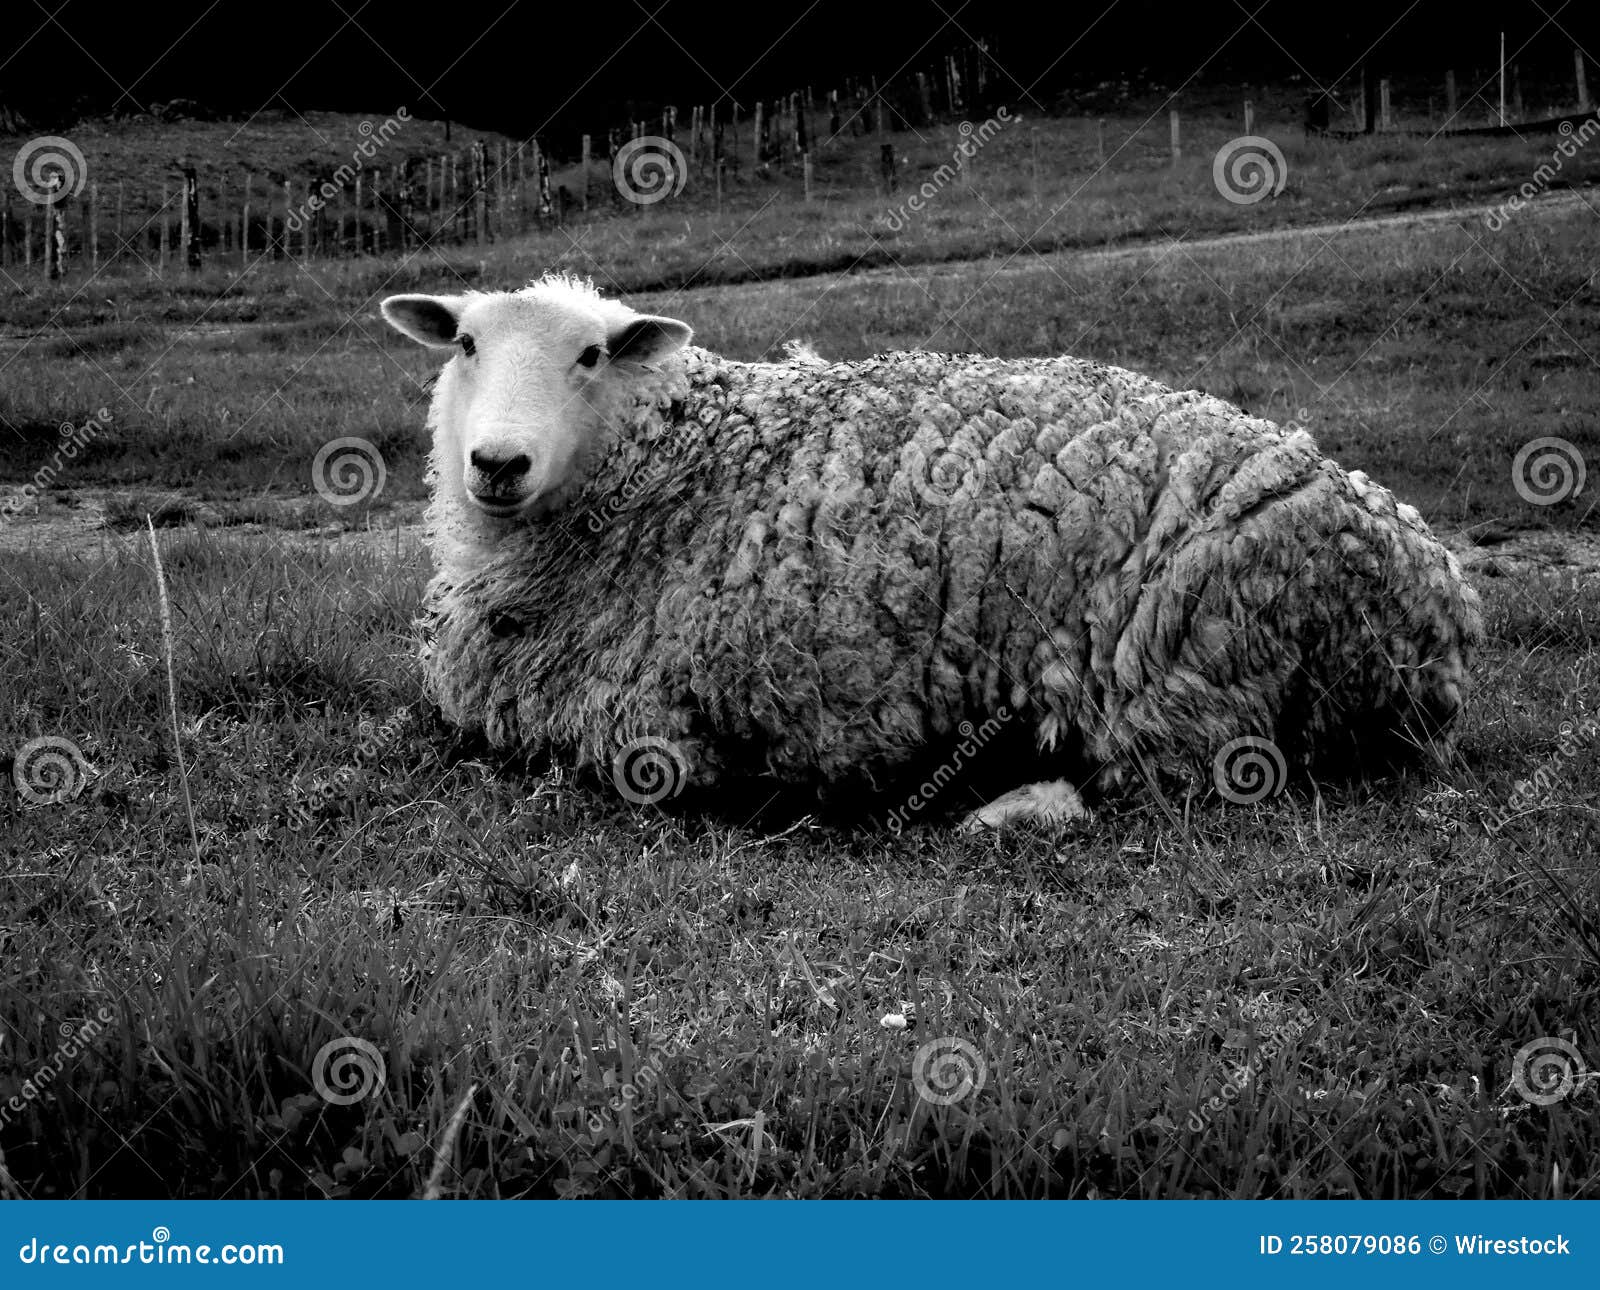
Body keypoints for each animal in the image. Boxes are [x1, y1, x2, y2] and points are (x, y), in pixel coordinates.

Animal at [380, 274, 1484, 829]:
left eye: (591, 353)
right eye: (466, 345)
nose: (497, 463)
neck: (677, 458)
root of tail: (1434, 600)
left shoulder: (642, 721)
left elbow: (659, 767)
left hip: (1189, 672)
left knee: (1169, 780)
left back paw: (1011, 803)